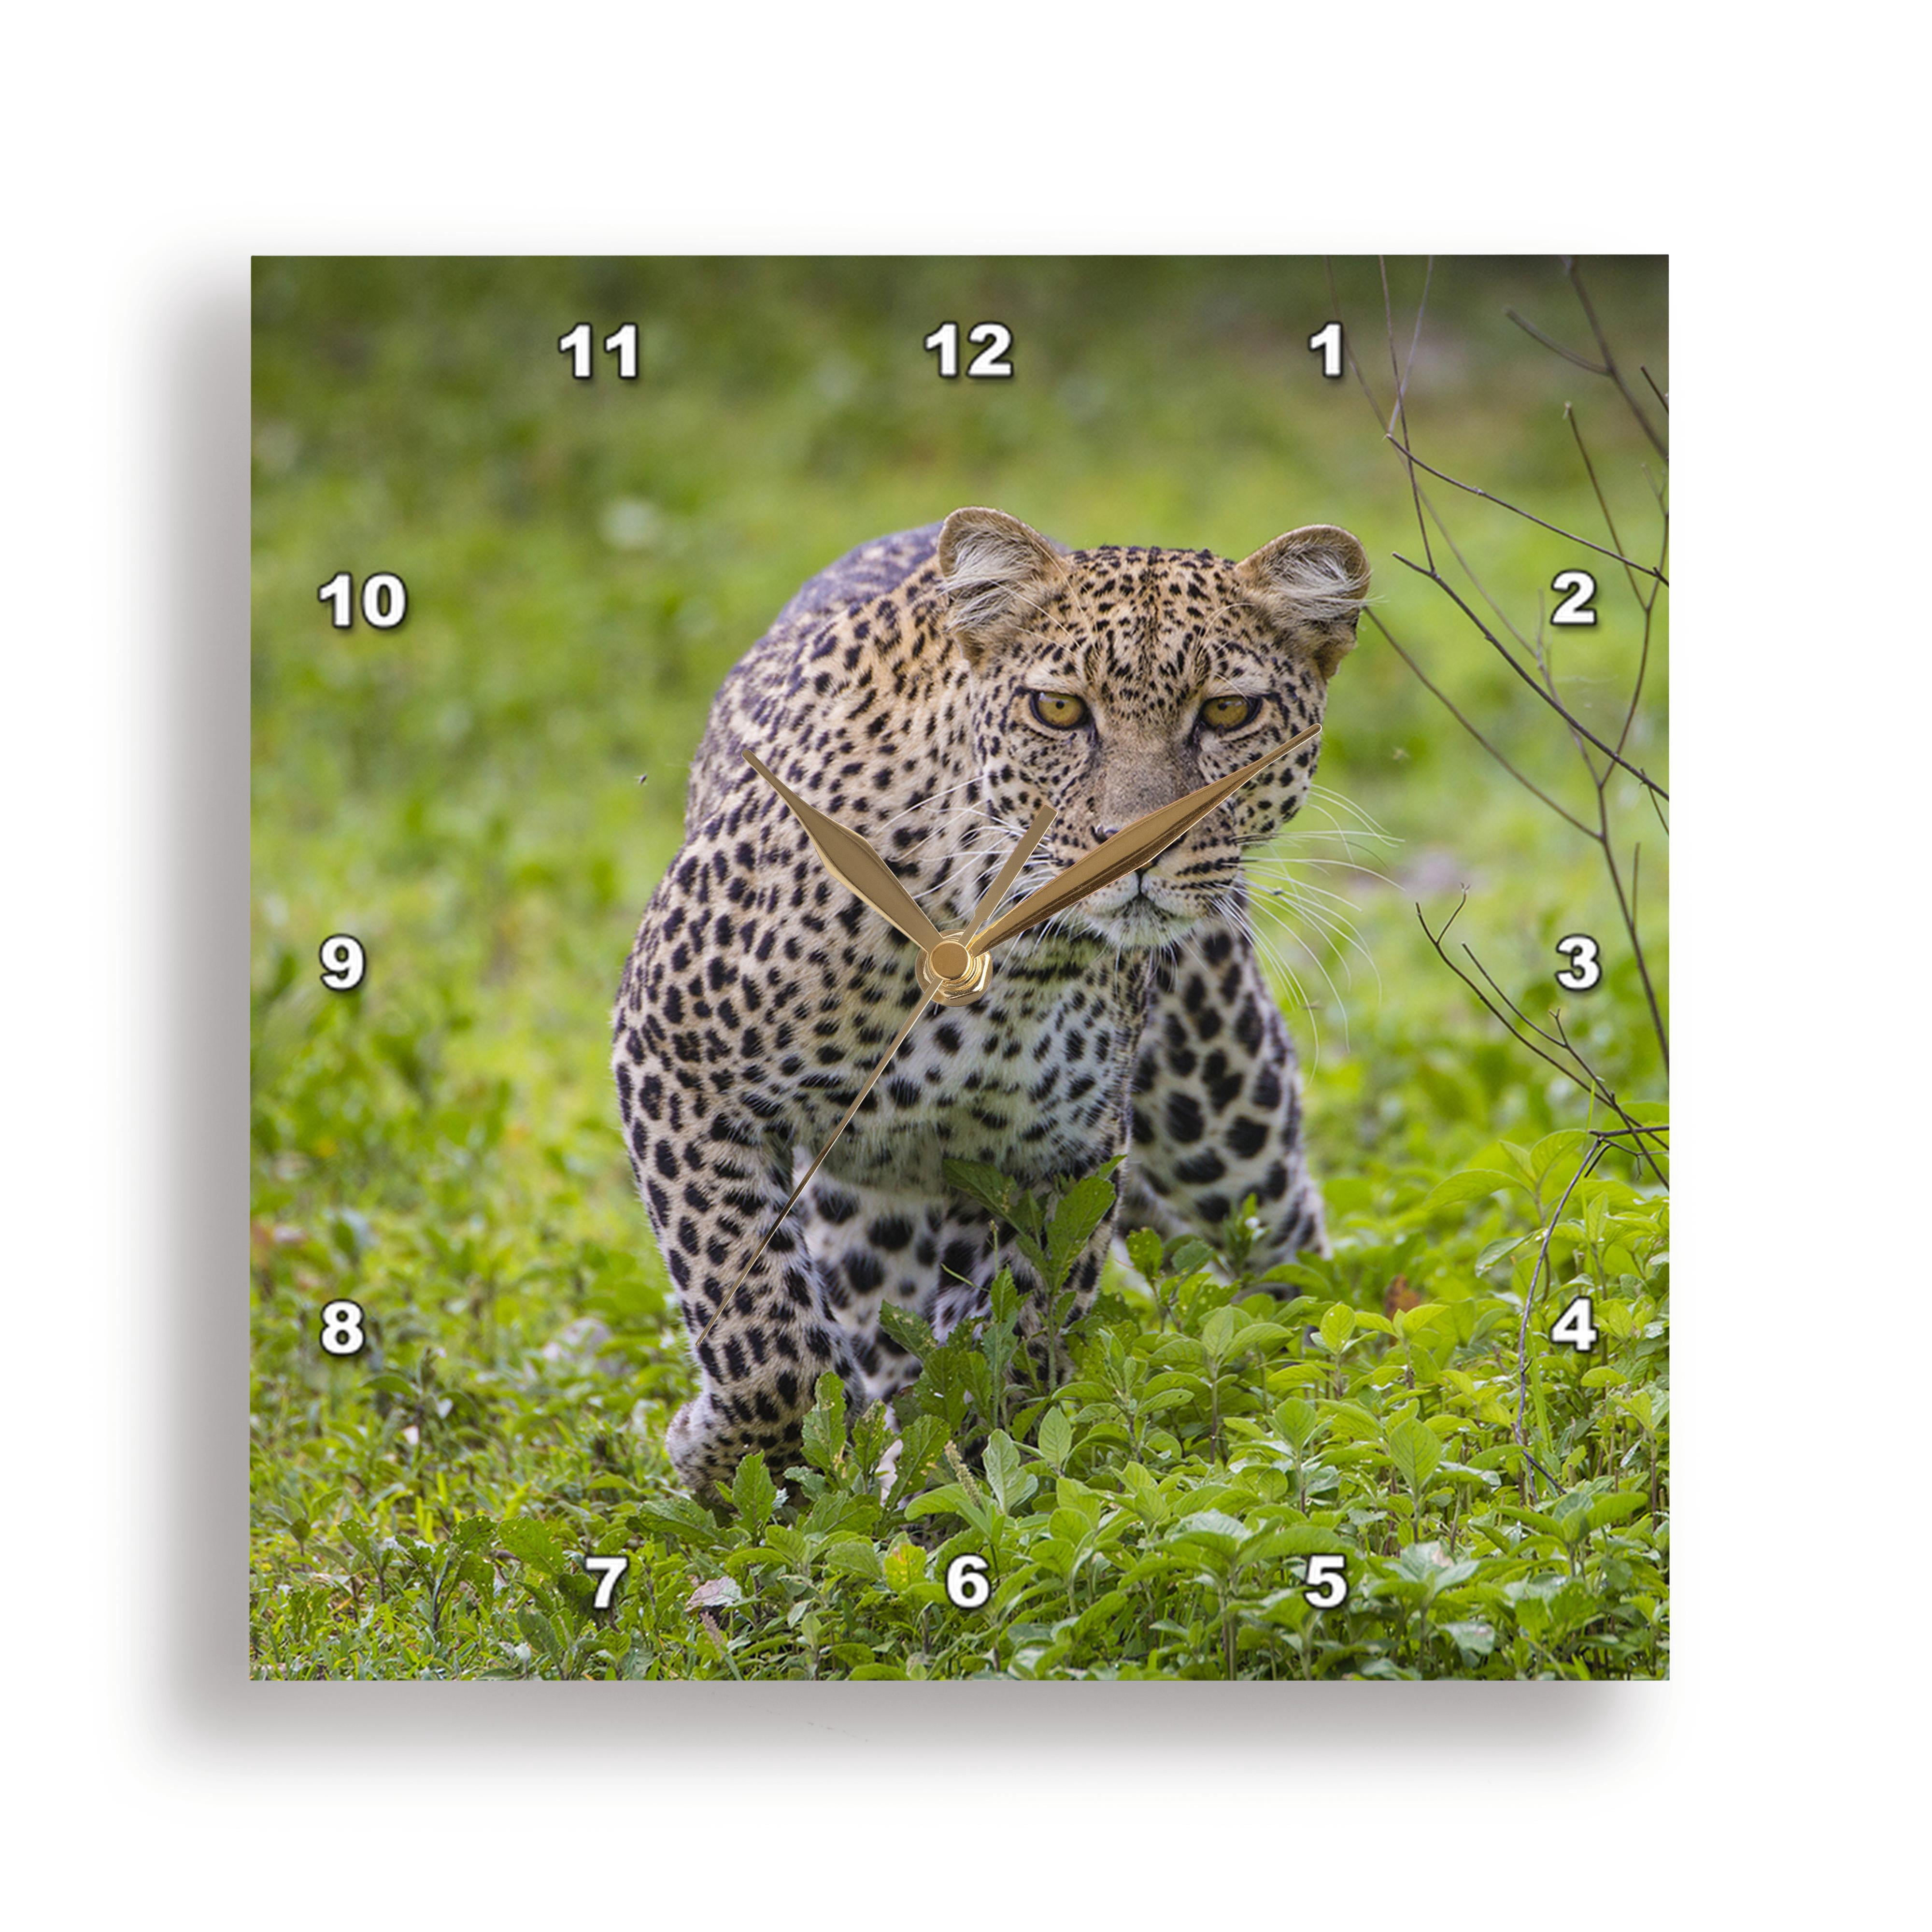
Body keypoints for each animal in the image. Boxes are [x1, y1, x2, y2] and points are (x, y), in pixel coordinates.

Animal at [612, 506, 1369, 1494]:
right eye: (1059, 709)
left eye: (1228, 713)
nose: (1134, 849)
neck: (1006, 953)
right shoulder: (676, 1060)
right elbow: (762, 1330)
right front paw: (723, 1457)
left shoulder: (1052, 1161)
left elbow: (1005, 1353)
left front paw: (954, 1490)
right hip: (865, 1205)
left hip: (1223, 1117)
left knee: (1284, 1251)